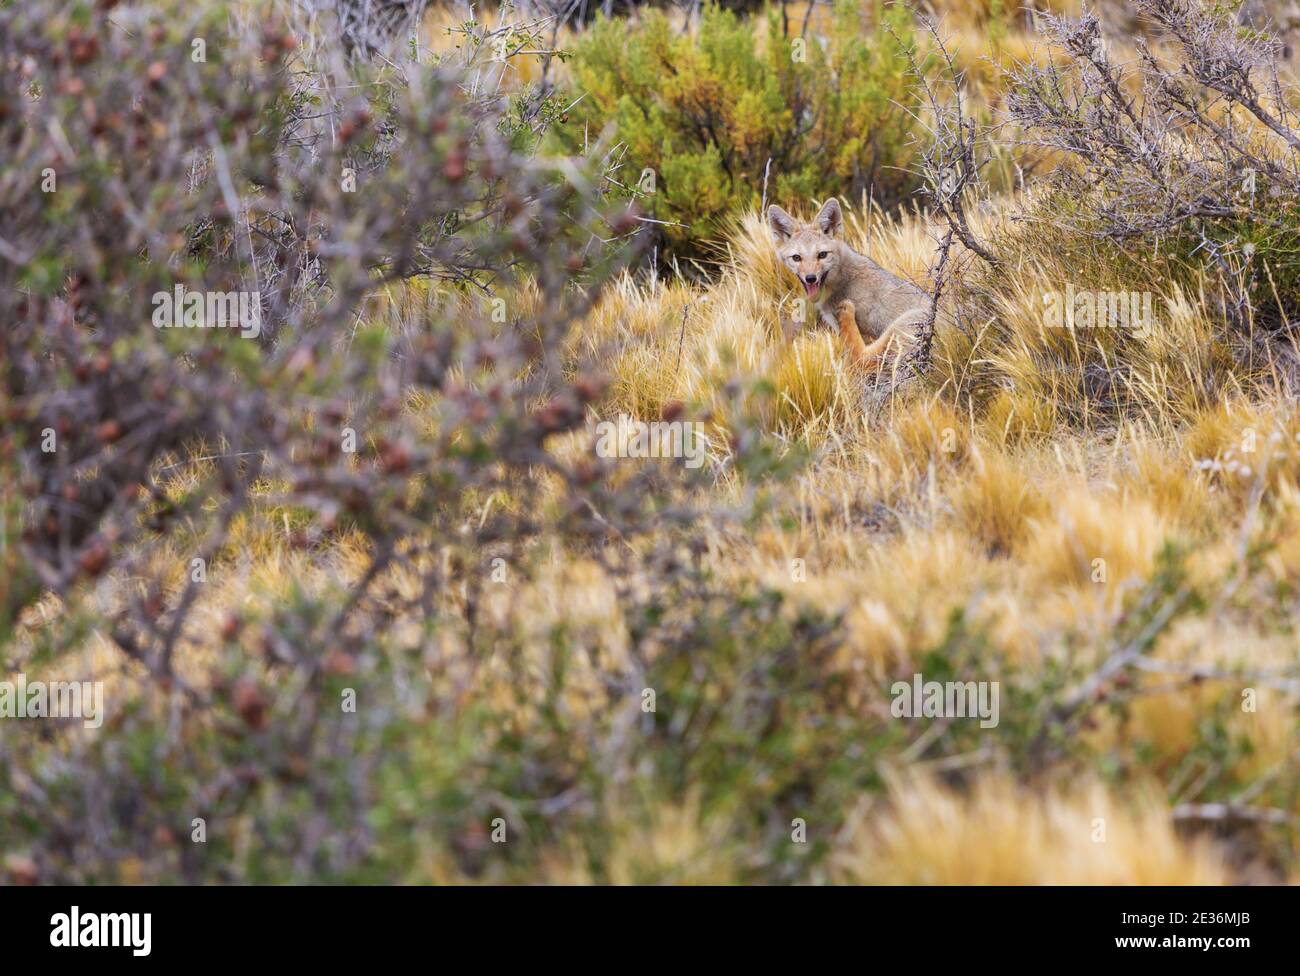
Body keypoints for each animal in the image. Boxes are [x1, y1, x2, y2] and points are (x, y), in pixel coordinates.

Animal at [768, 198, 930, 369]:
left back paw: (846, 313)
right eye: (796, 258)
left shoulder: (869, 332)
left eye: (822, 255)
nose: (810, 278)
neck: (843, 281)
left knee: (862, 358)